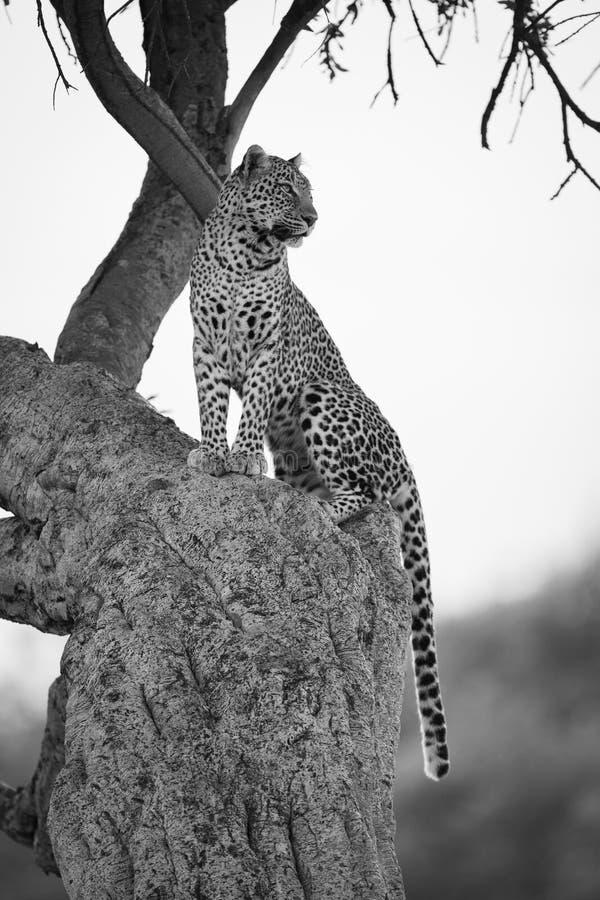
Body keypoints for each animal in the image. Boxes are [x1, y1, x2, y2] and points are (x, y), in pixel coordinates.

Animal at [188, 145, 449, 780]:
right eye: (289, 191)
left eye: (311, 193)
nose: (312, 219)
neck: (245, 253)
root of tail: (406, 458)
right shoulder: (205, 346)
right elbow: (210, 403)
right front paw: (211, 453)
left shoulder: (269, 352)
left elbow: (253, 405)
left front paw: (241, 458)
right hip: (296, 449)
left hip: (320, 396)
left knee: (367, 496)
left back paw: (322, 508)